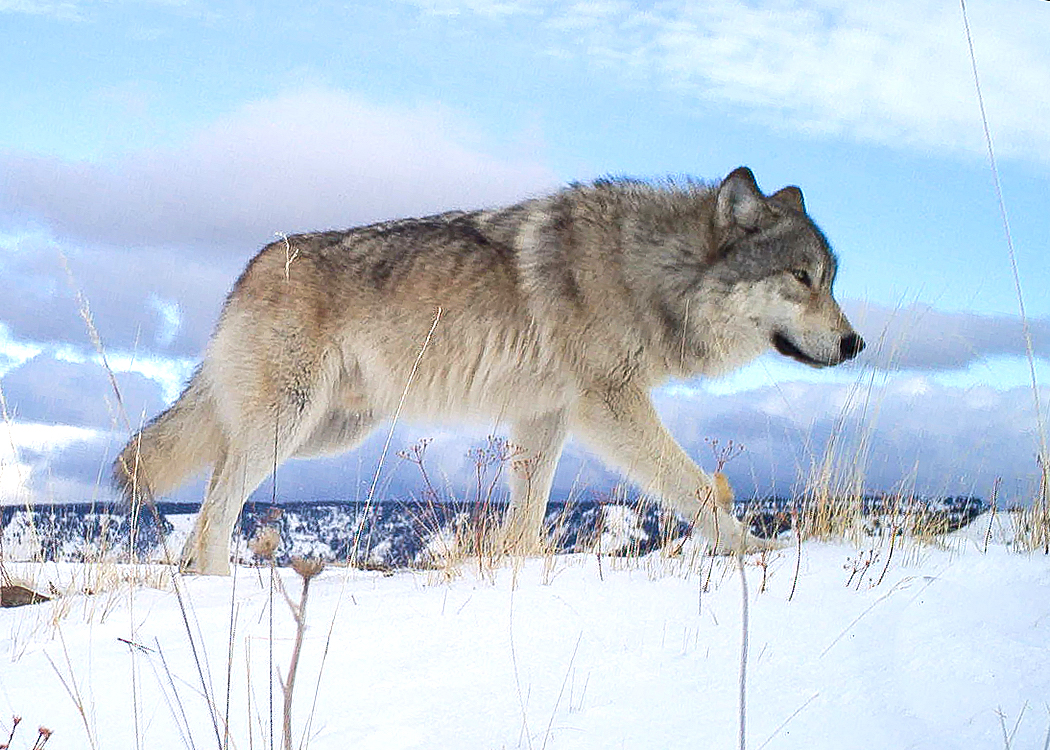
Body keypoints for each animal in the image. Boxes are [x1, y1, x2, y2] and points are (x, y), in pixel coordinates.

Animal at [114, 167, 864, 575]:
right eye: (802, 278)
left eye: (831, 280)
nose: (855, 343)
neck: (651, 269)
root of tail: (250, 266)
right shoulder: (609, 406)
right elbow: (698, 488)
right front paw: (754, 552)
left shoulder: (547, 417)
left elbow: (526, 518)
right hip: (289, 426)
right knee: (214, 510)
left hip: (320, 432)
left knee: (208, 488)